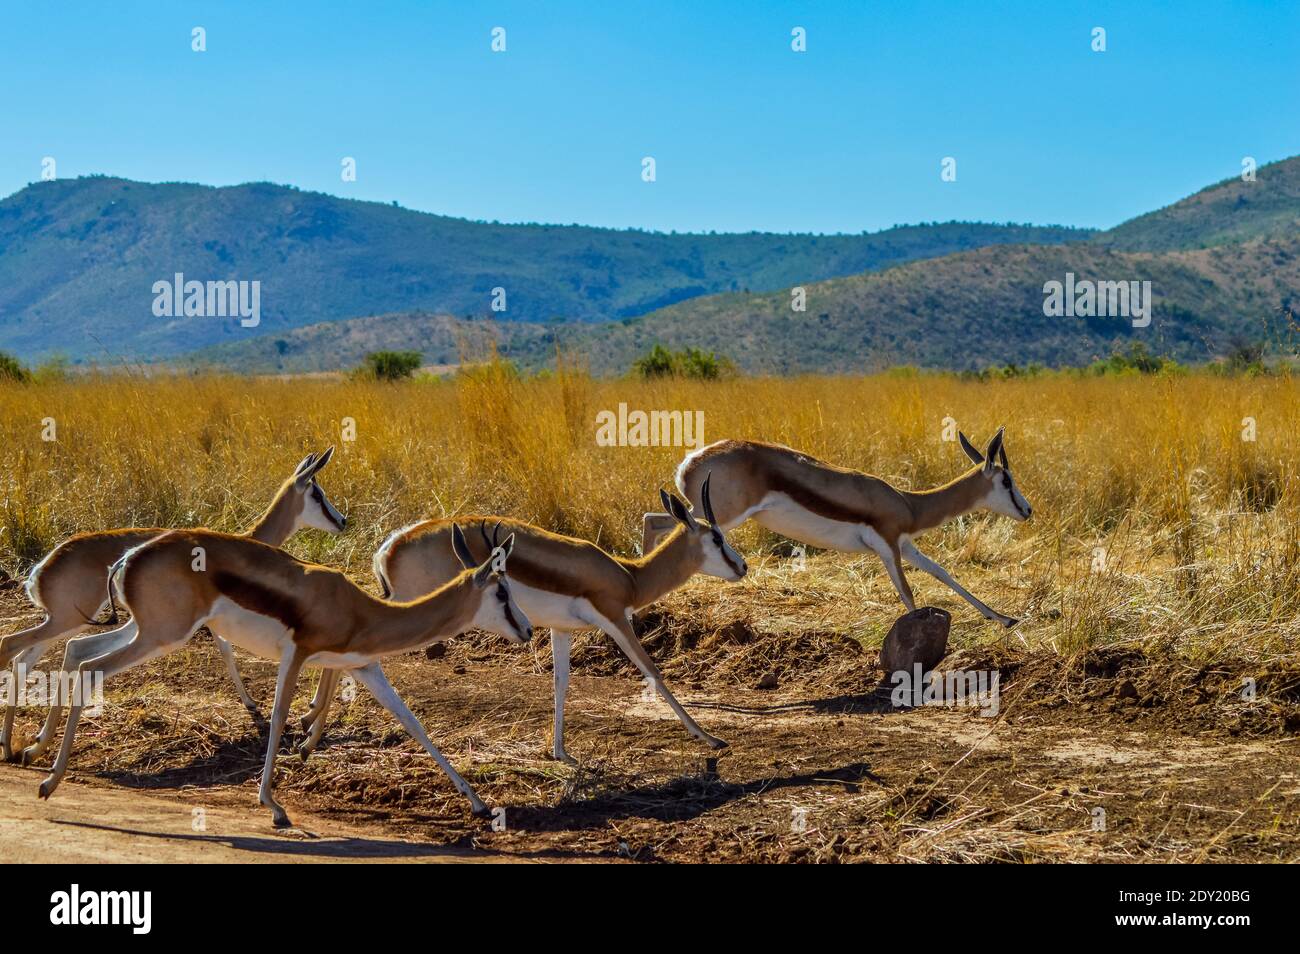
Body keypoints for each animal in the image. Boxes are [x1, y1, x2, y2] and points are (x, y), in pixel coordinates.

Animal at [0, 448, 345, 762]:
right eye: (317, 493)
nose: (342, 520)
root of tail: (41, 567)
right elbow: (227, 651)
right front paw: (256, 705)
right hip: (71, 620)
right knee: (16, 646)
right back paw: (17, 747)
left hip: (69, 623)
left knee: (36, 657)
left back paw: (21, 746)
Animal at [34, 524, 532, 828]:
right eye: (502, 592)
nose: (526, 629)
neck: (362, 611)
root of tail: (130, 557)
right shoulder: (298, 654)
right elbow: (276, 719)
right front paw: (273, 806)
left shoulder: (364, 666)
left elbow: (414, 723)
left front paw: (479, 804)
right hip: (163, 634)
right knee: (89, 666)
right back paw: (49, 781)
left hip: (149, 630)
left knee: (77, 652)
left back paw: (36, 756)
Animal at [300, 477, 746, 765]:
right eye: (718, 538)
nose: (742, 566)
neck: (629, 576)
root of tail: (389, 546)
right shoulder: (617, 619)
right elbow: (654, 672)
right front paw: (710, 738)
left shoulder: (562, 630)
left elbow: (561, 684)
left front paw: (562, 753)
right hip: (411, 605)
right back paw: (308, 731)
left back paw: (308, 731)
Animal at [643, 429, 1031, 627]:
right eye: (1007, 480)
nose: (1028, 510)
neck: (909, 504)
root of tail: (690, 463)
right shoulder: (888, 546)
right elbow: (907, 593)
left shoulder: (904, 545)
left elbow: (942, 573)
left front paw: (1005, 618)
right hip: (715, 518)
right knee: (657, 523)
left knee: (654, 521)